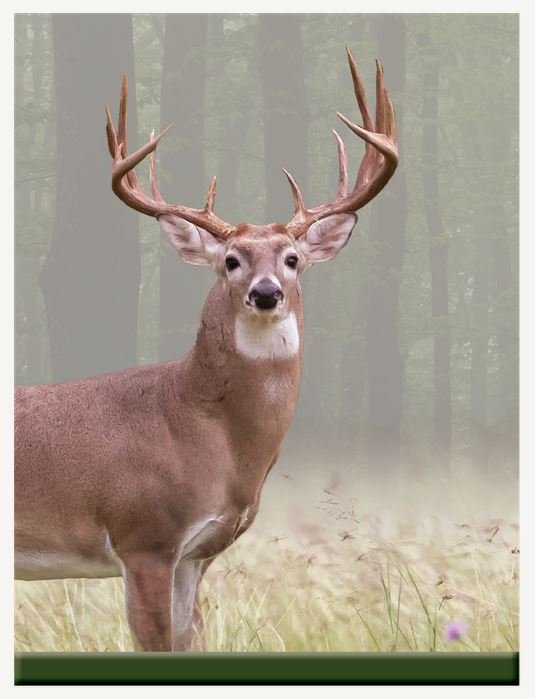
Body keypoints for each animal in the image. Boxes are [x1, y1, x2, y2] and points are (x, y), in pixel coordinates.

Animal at [15, 49, 398, 652]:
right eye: (231, 260)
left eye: (292, 259)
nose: (265, 293)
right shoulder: (143, 537)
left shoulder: (196, 554)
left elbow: (187, 640)